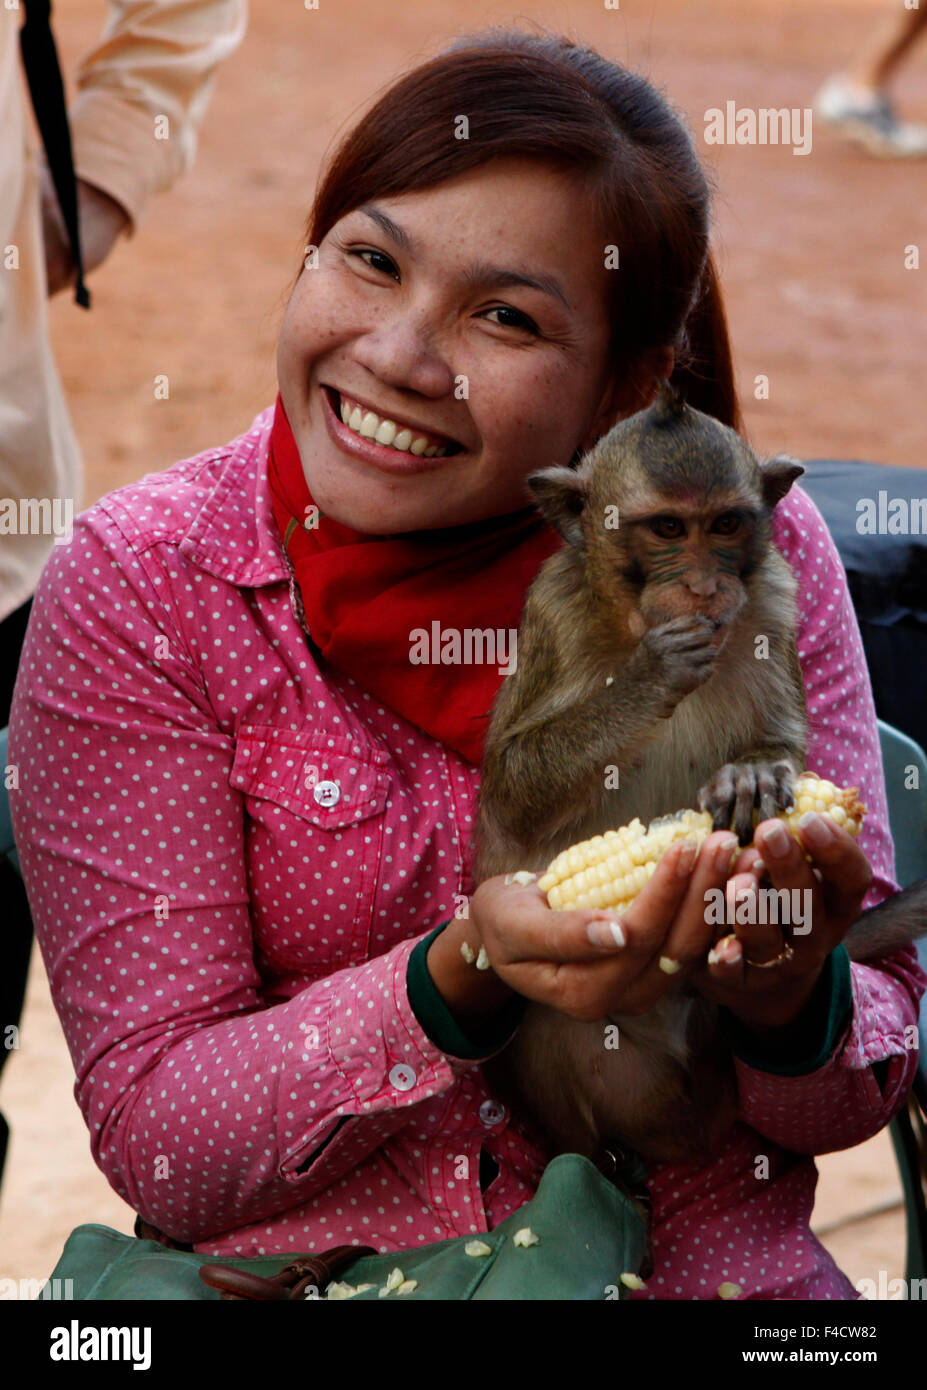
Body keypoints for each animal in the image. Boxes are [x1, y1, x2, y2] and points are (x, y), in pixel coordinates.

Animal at [474, 380, 927, 1170]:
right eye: (664, 528)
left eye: (723, 524)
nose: (703, 585)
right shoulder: (554, 614)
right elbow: (512, 789)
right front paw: (652, 675)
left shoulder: (773, 597)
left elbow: (781, 741)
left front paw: (749, 779)